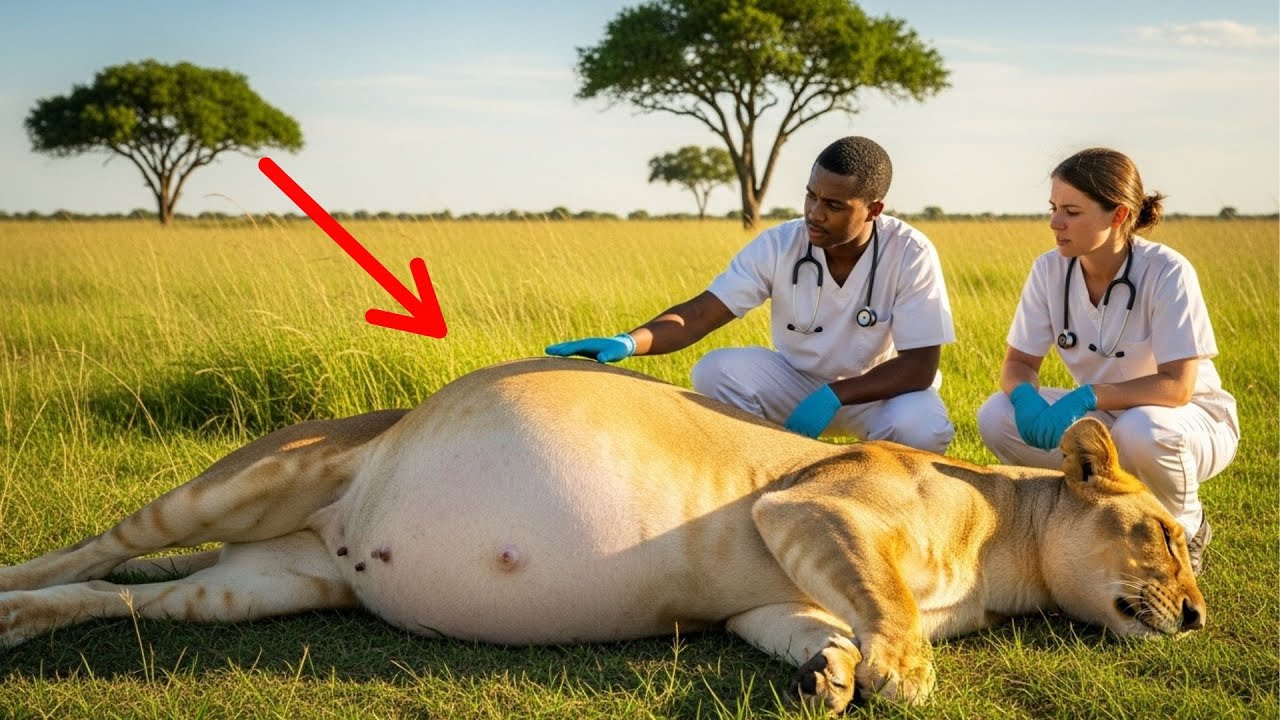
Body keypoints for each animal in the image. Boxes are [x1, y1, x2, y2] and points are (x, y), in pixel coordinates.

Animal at [0, 358, 1204, 711]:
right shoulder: (808, 504)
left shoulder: (773, 592)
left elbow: (814, 625)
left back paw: (20, 626)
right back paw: (7, 587)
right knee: (96, 547)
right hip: (258, 480)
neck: (1008, 530)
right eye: (1161, 536)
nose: (1194, 615)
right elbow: (893, 616)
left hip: (261, 585)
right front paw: (894, 675)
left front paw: (826, 672)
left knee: (121, 597)